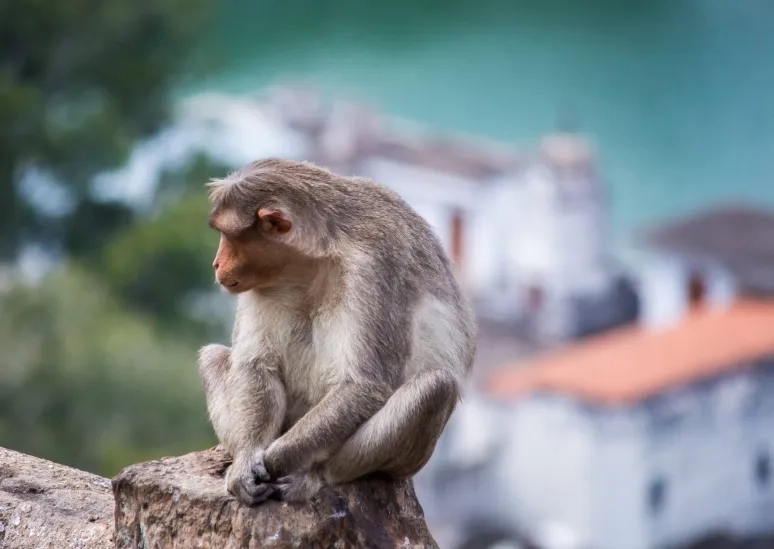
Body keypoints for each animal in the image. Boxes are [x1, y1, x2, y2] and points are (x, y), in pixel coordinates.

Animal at [197, 157, 477, 506]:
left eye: (229, 236)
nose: (216, 264)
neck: (314, 260)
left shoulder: (375, 267)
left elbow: (362, 386)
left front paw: (273, 462)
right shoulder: (262, 283)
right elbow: (256, 364)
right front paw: (246, 462)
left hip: (405, 464)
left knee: (436, 387)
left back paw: (315, 476)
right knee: (213, 357)